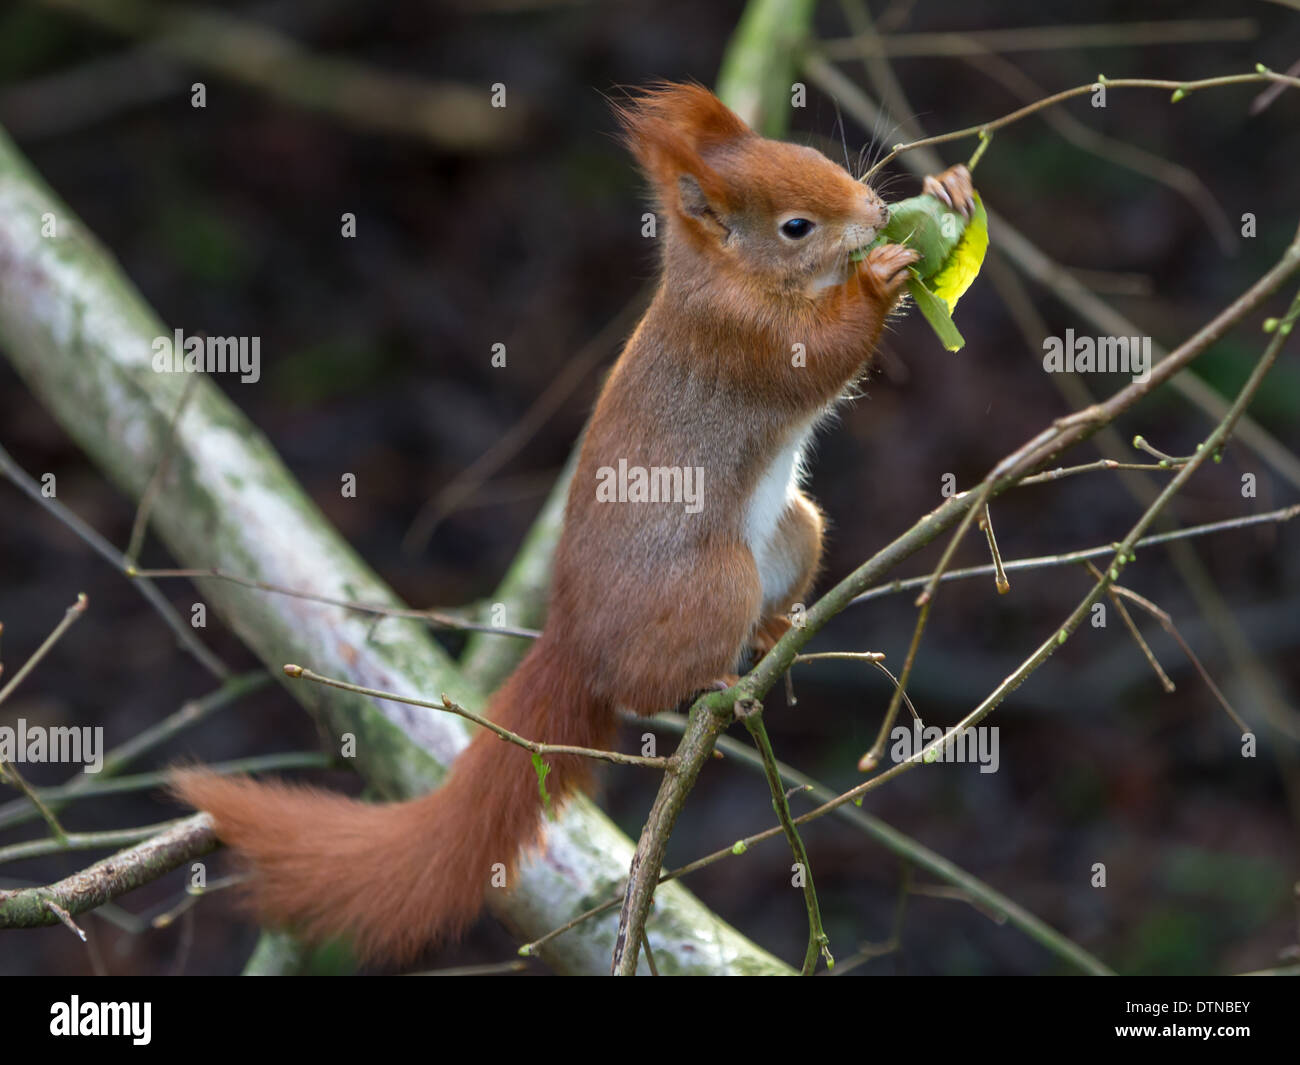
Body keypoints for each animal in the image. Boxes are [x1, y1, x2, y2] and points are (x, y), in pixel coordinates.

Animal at [171, 82, 975, 967]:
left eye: (814, 156)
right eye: (795, 226)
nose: (877, 211)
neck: (726, 276)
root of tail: (573, 635)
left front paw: (949, 192)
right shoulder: (744, 339)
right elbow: (824, 354)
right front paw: (882, 275)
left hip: (798, 529)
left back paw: (774, 635)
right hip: (711, 579)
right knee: (646, 686)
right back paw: (719, 685)